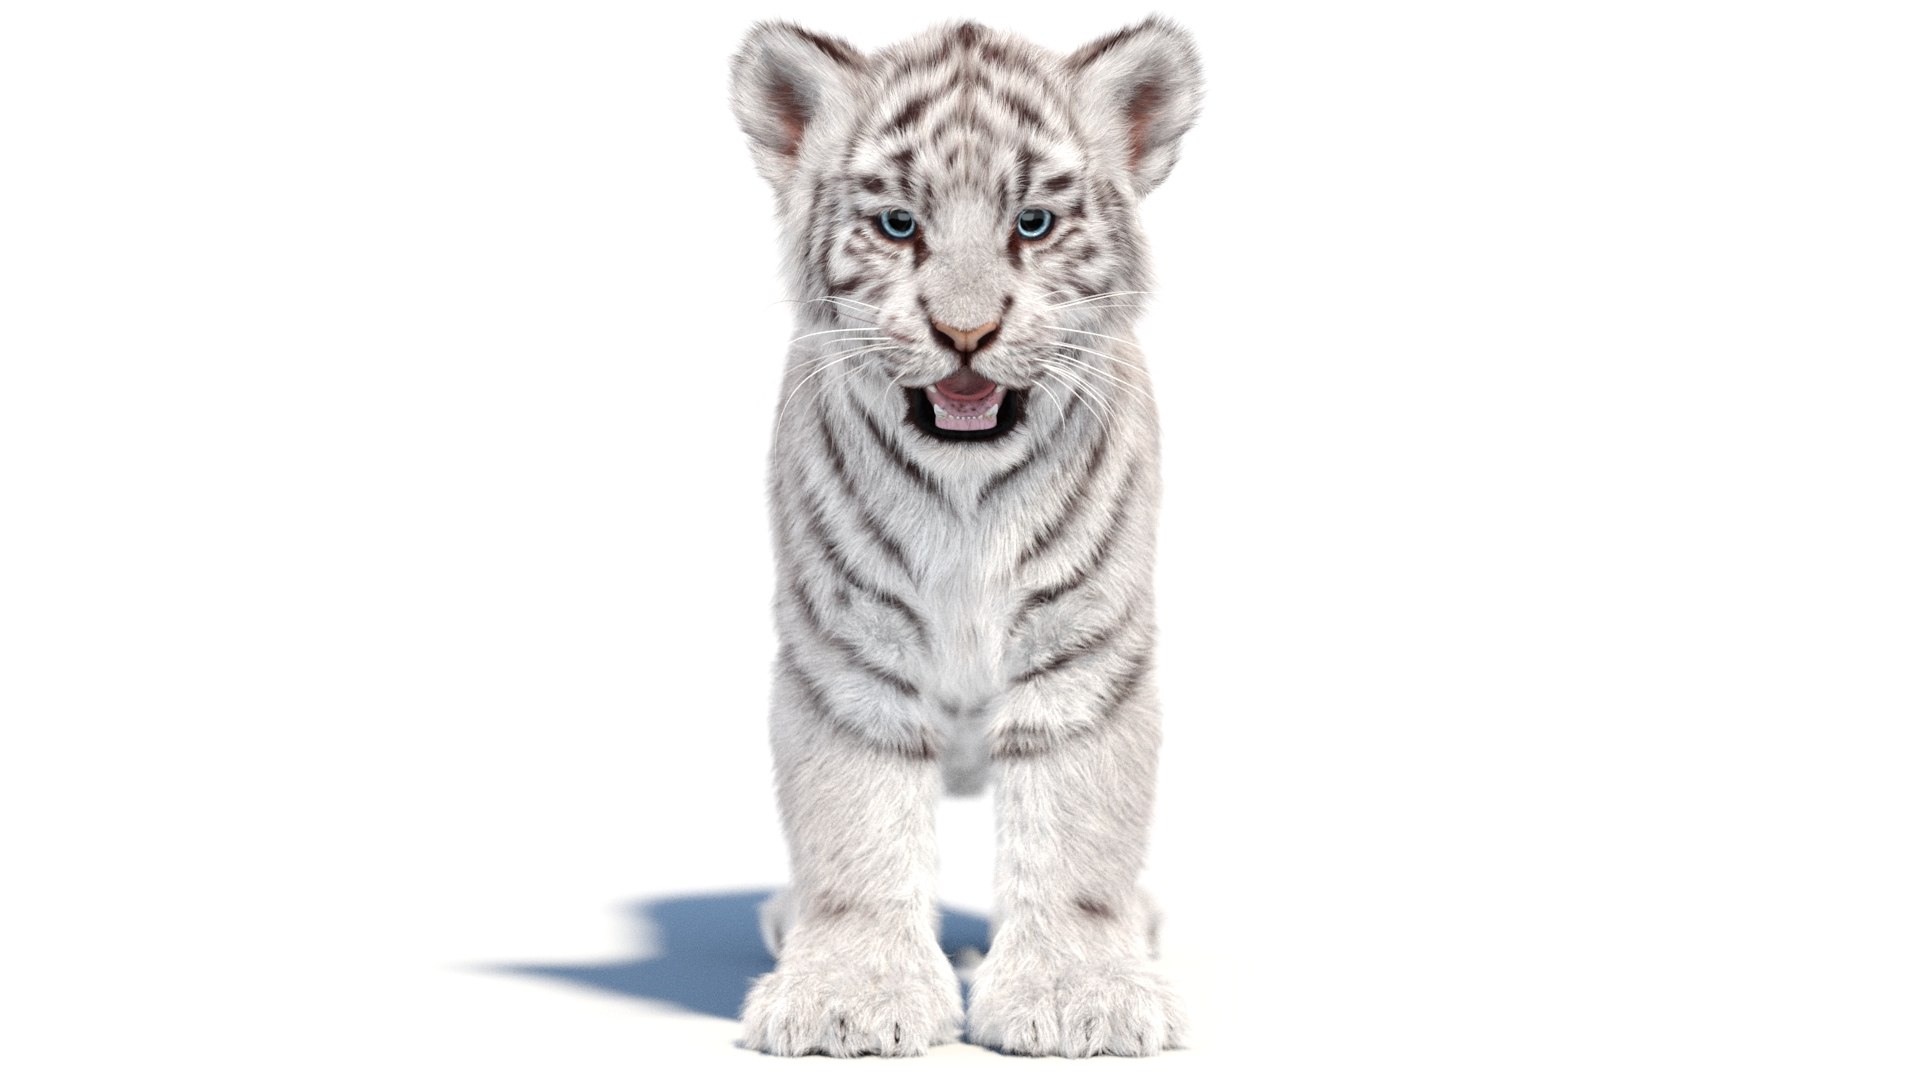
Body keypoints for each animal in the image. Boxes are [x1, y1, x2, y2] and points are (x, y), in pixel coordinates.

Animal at [727, 16, 1203, 1057]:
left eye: (1033, 224)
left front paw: (1079, 997)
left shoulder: (1084, 659)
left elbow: (1077, 833)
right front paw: (847, 1000)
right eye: (900, 225)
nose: (965, 334)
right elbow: (855, 830)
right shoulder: (849, 660)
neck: (965, 497)